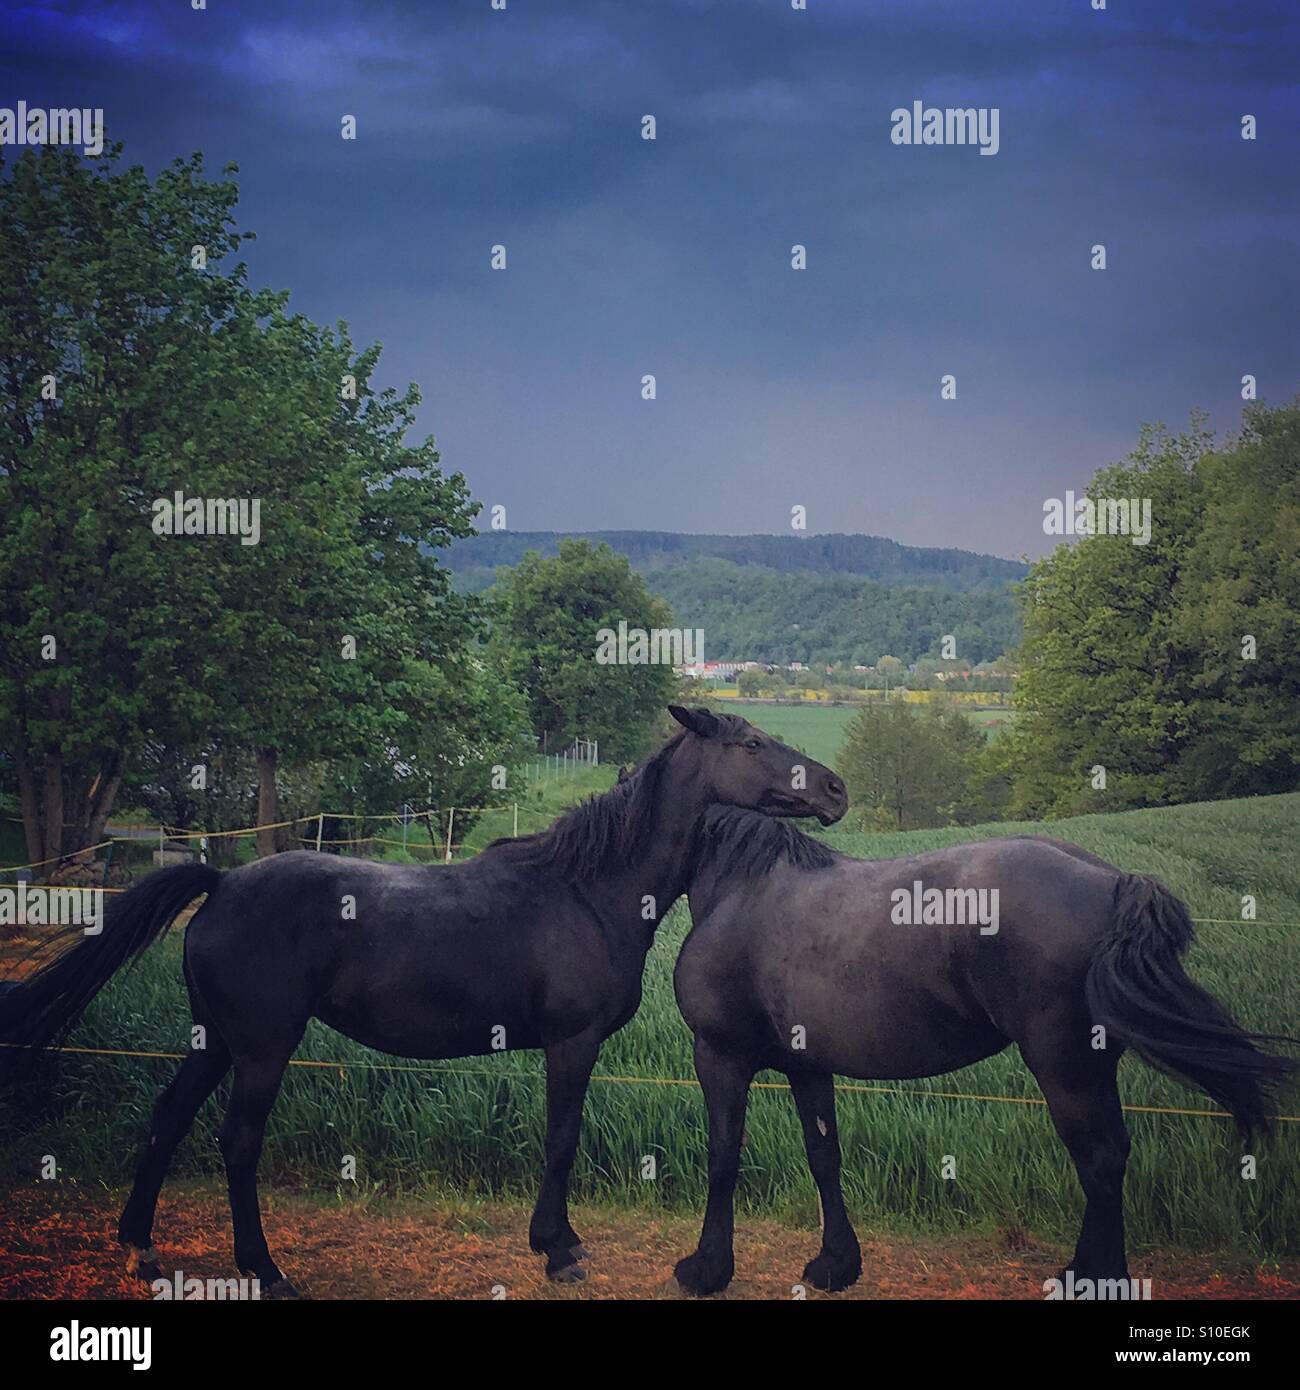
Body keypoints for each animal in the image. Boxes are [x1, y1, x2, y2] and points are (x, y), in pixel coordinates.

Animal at [0, 707, 846, 1294]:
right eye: (749, 743)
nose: (835, 788)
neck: (587, 890)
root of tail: (223, 882)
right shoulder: (571, 1043)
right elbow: (562, 1139)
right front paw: (558, 1249)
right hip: (263, 1048)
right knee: (236, 1143)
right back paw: (265, 1270)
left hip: (216, 1040)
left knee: (170, 1117)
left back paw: (140, 1246)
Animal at [671, 806, 1299, 1296]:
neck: (745, 890)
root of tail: (1113, 882)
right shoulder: (807, 1067)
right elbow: (824, 1156)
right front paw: (835, 1265)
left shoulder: (719, 1056)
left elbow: (722, 1157)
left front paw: (707, 1269)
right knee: (1111, 1156)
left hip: (1064, 1065)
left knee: (1099, 1159)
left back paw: (1093, 1279)